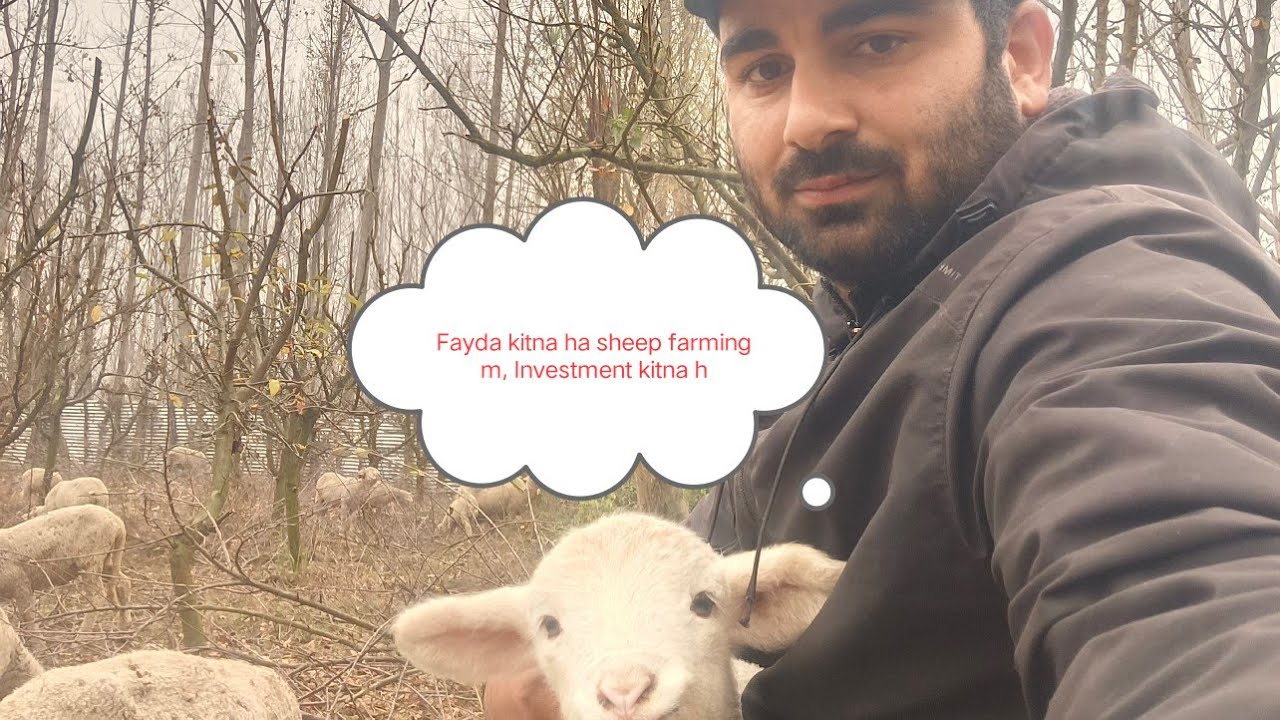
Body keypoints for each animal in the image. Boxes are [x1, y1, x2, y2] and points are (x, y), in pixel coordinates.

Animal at [0, 505, 130, 625]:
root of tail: (119, 525)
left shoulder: (21, 584)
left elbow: (28, 618)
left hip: (91, 559)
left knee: (97, 595)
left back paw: (81, 634)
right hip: (107, 559)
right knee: (123, 581)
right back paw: (124, 625)